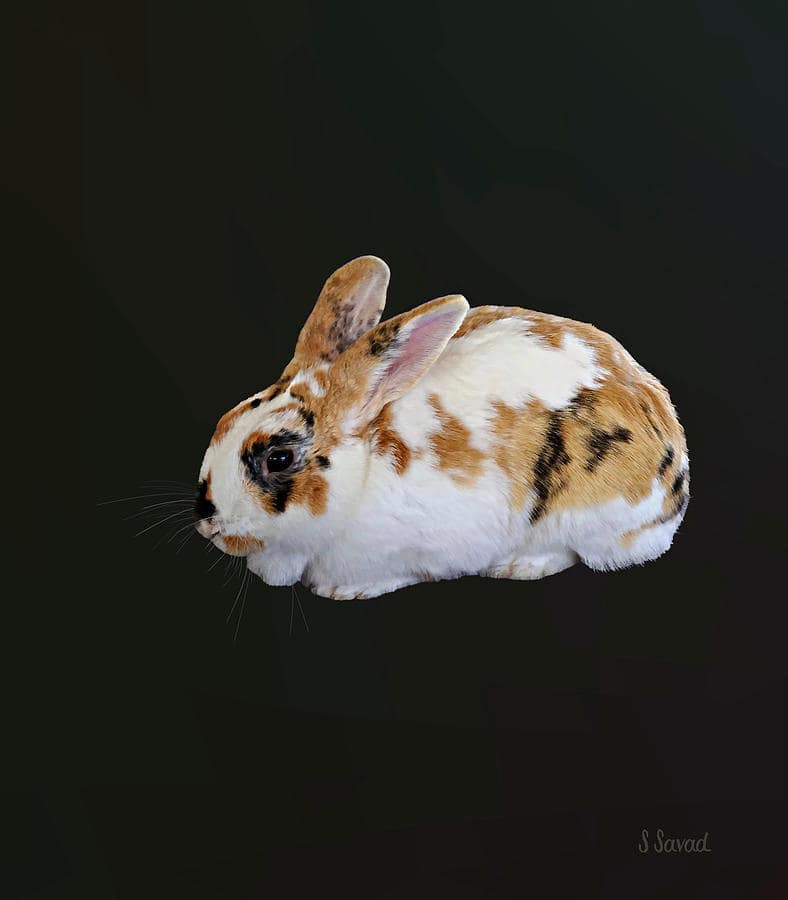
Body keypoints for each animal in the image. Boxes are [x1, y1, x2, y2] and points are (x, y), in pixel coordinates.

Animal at [194, 255, 689, 599]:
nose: (207, 521)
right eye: (223, 421)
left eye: (278, 458)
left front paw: (346, 591)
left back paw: (519, 565)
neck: (364, 471)